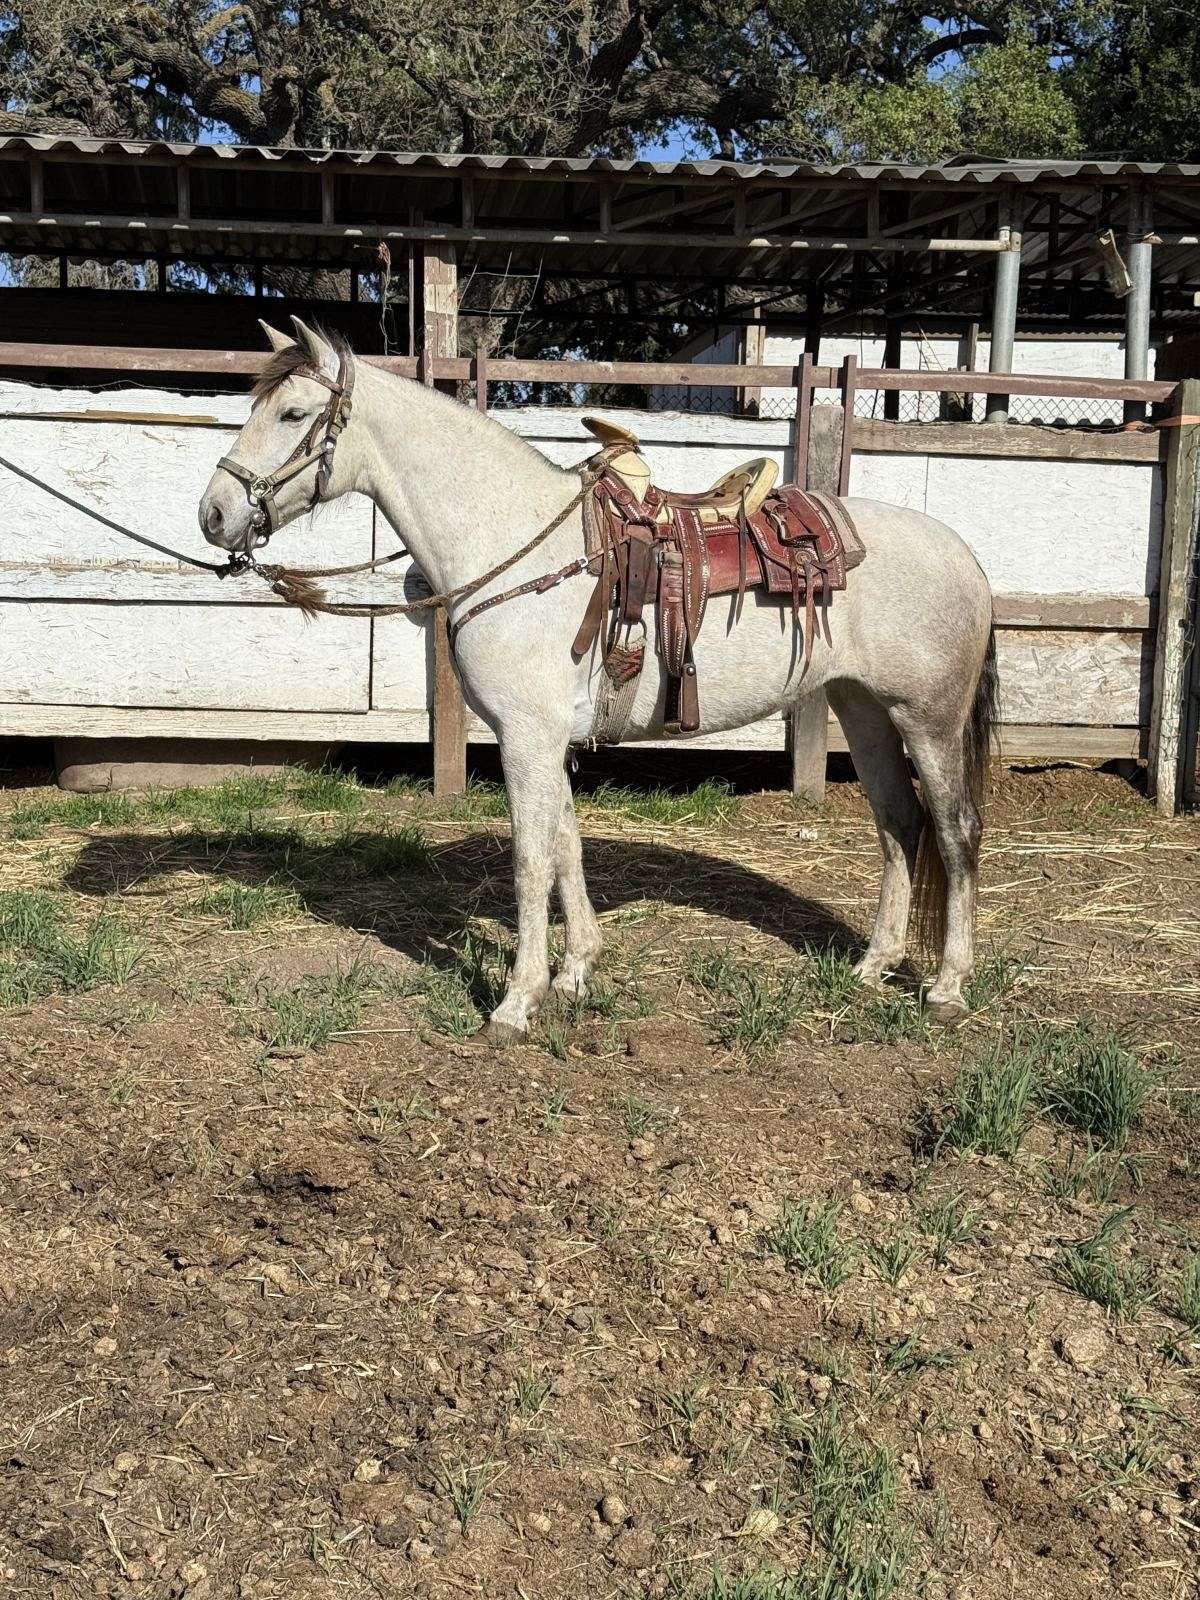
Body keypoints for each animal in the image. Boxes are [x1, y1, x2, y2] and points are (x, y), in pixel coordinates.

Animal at [198, 318, 999, 1045]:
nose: (213, 514)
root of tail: (965, 555)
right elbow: (566, 843)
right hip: (864, 710)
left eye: (292, 414)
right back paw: (874, 965)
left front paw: (516, 1001)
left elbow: (531, 857)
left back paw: (948, 987)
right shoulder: (545, 735)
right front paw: (576, 970)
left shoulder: (527, 734)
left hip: (927, 720)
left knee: (955, 829)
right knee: (898, 823)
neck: (516, 545)